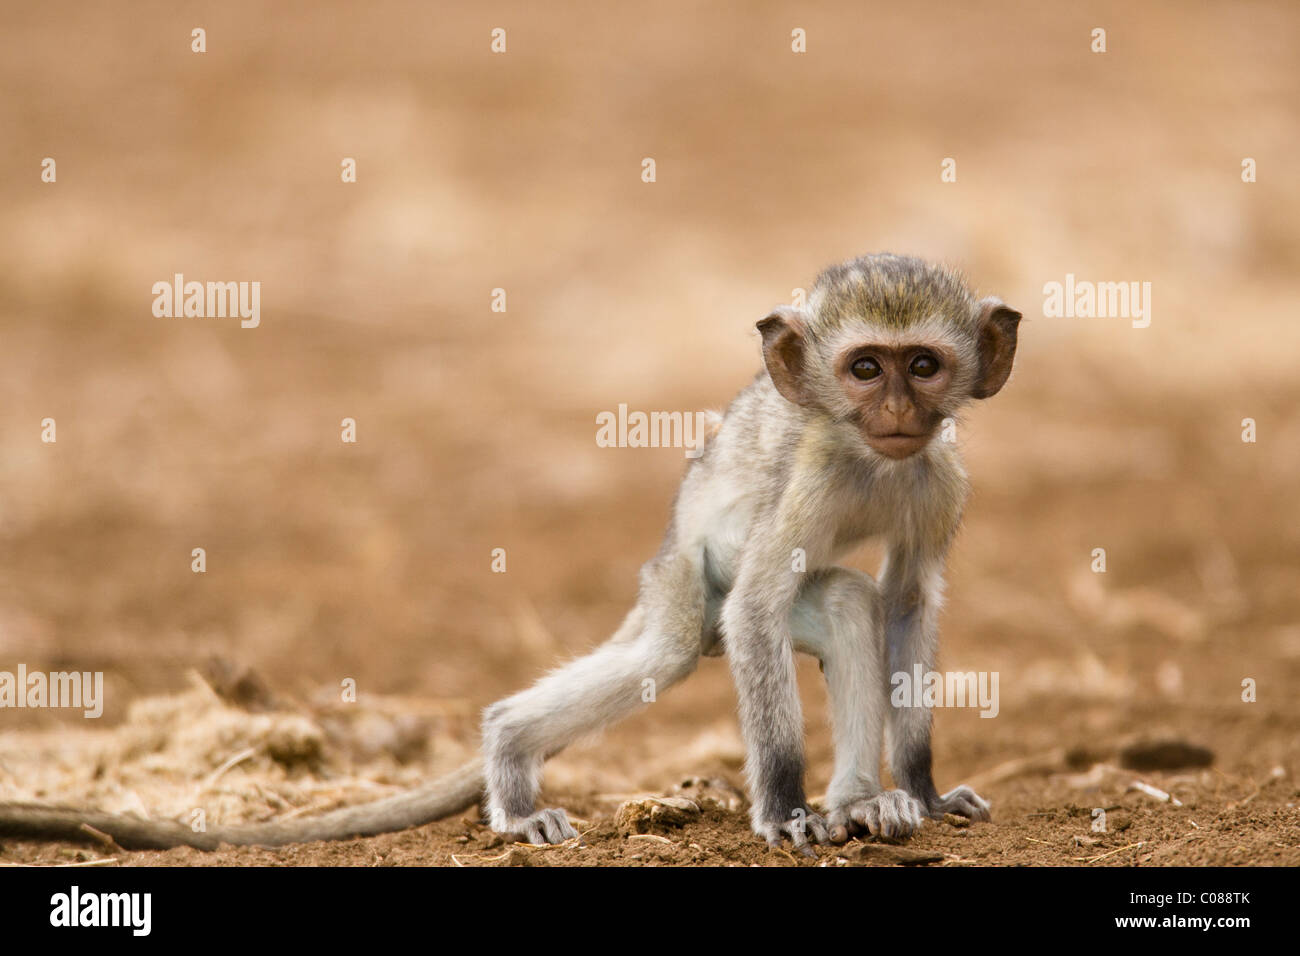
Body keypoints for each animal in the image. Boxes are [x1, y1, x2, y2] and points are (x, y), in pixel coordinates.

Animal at [0, 253, 1019, 854]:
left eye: (922, 366)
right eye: (865, 368)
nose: (898, 412)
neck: (869, 457)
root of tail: (662, 548)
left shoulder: (941, 476)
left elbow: (910, 600)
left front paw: (919, 791)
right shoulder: (807, 480)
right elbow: (759, 607)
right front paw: (781, 810)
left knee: (845, 603)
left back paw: (863, 801)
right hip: (684, 582)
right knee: (678, 647)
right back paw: (514, 768)